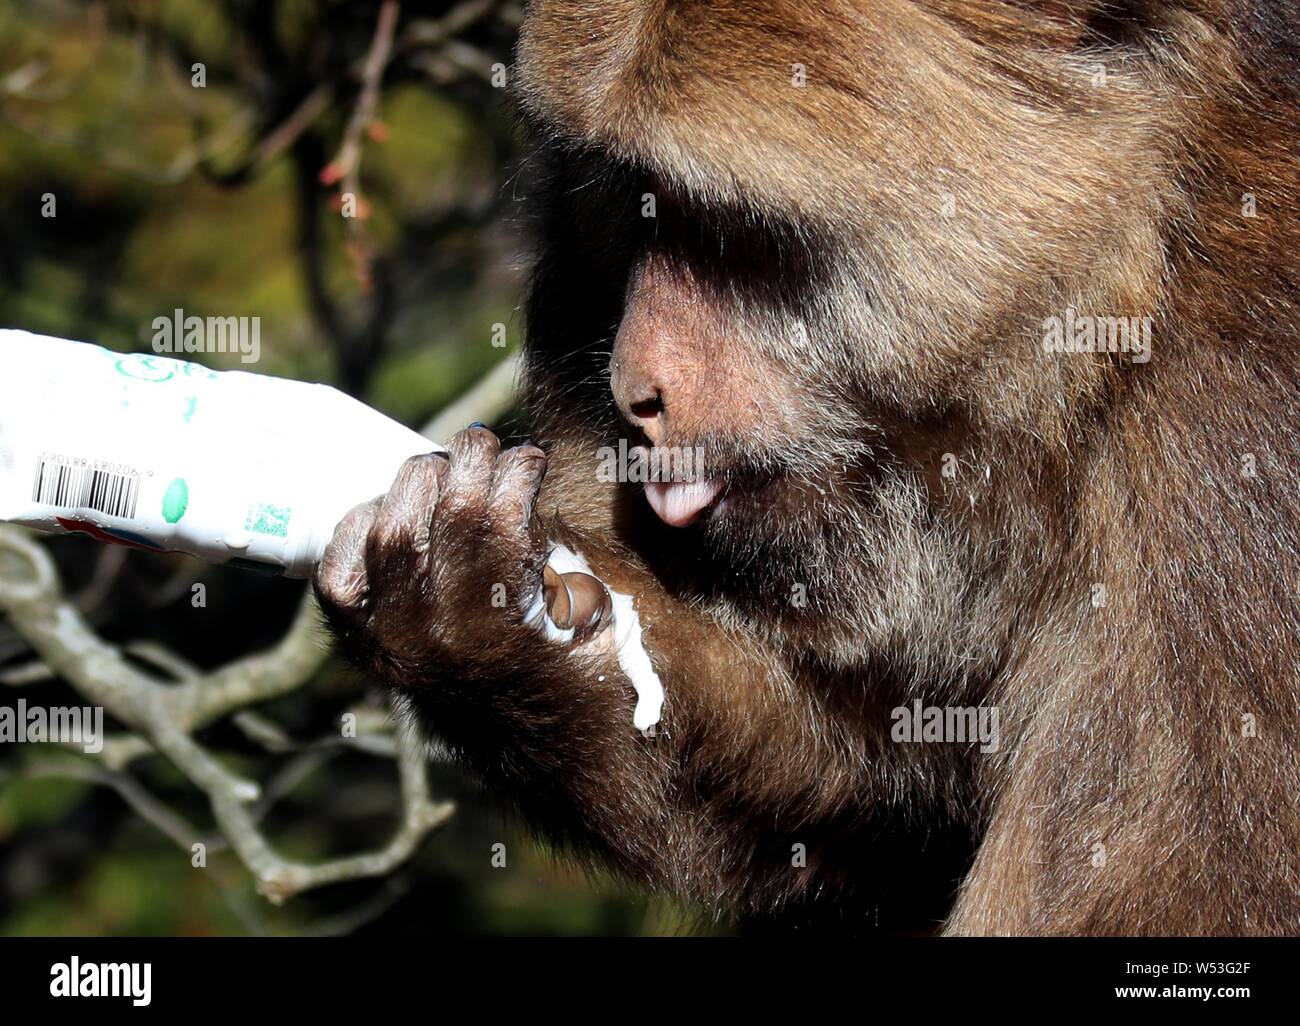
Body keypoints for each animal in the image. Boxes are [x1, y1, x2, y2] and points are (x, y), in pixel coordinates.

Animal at [314, 0, 1300, 935]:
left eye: (728, 229)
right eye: (634, 197)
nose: (635, 386)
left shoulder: (1232, 455)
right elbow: (877, 821)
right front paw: (472, 613)